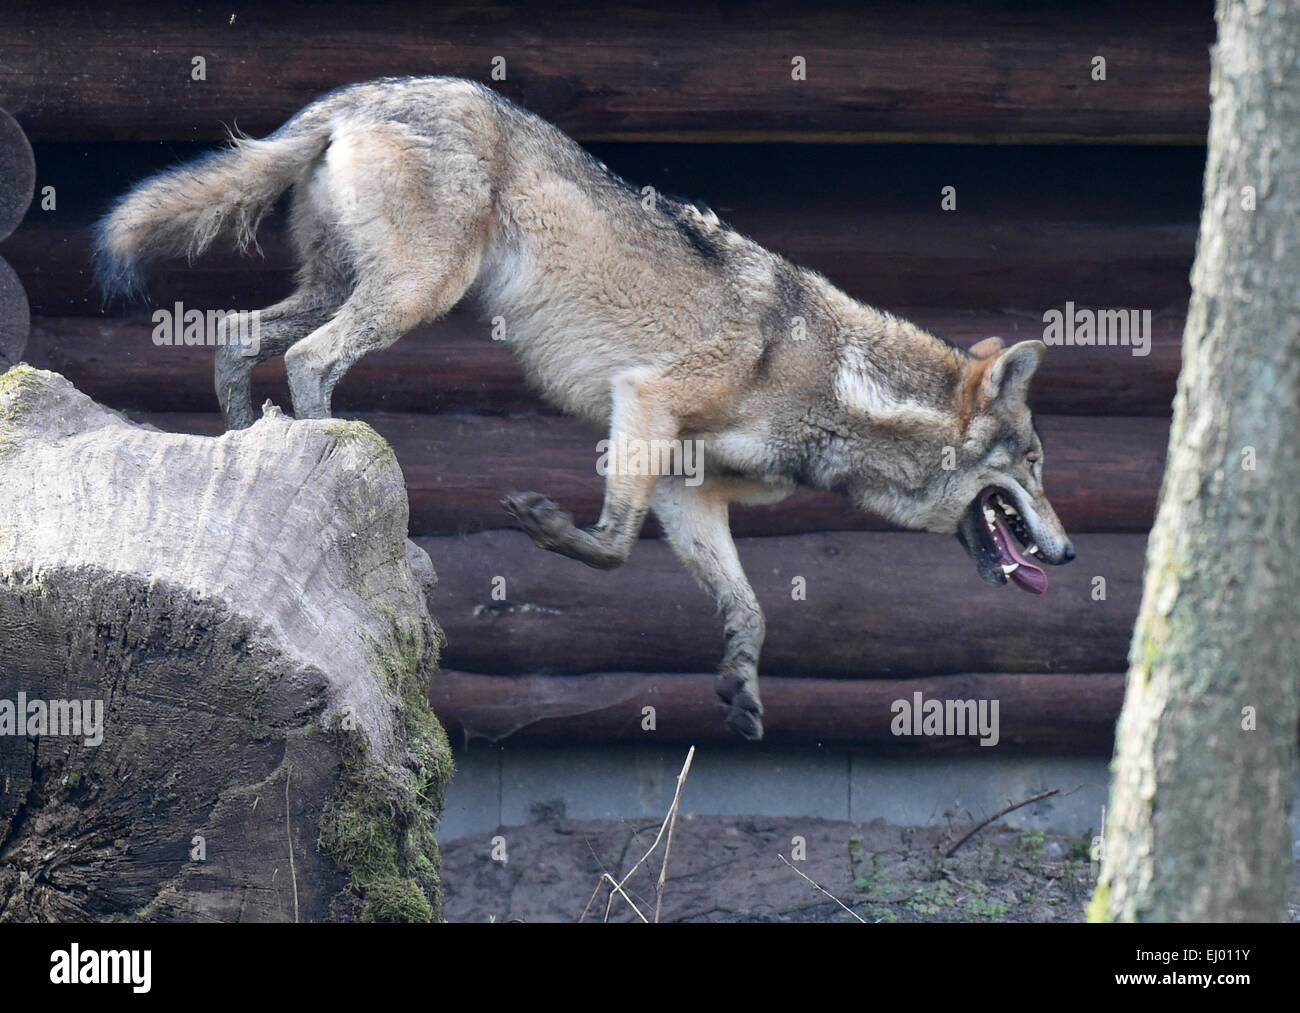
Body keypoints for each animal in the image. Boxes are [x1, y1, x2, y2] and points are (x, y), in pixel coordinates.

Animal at [94, 76, 1075, 740]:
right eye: (1031, 467)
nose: (1067, 554)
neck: (836, 384)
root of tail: (357, 96)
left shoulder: (688, 488)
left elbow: (748, 606)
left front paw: (741, 689)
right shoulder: (642, 400)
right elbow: (610, 548)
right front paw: (539, 523)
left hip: (343, 287)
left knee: (232, 338)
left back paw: (248, 443)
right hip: (414, 293)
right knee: (307, 358)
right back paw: (333, 439)